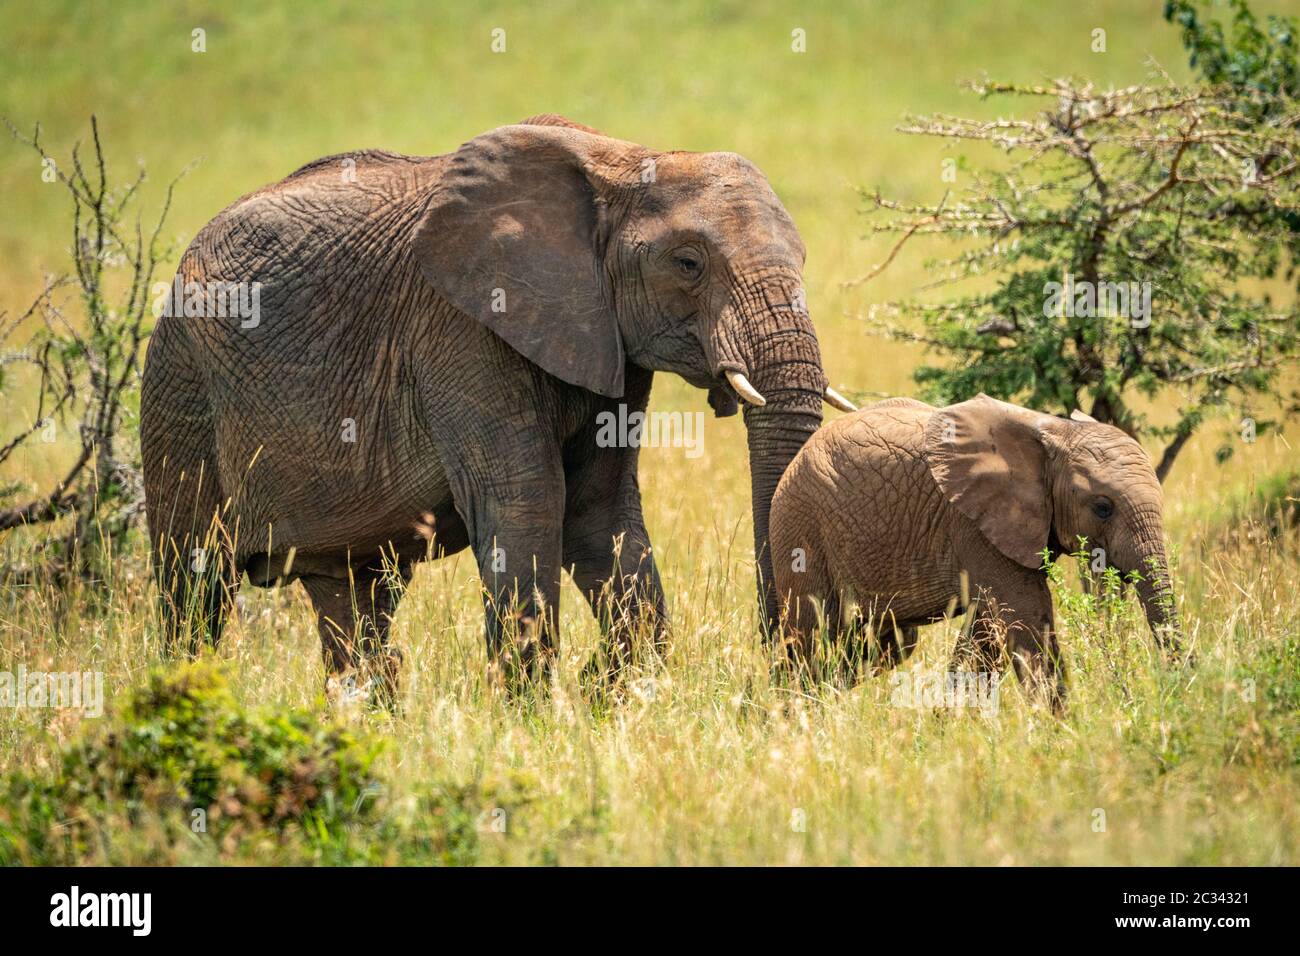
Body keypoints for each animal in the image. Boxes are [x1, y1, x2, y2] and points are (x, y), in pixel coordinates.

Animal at [140, 114, 854, 702]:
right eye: (688, 263)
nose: (791, 674)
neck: (623, 159)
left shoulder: (610, 343)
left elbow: (598, 511)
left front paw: (615, 693)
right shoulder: (461, 329)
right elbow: (528, 499)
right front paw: (534, 716)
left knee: (355, 594)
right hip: (180, 381)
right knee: (194, 585)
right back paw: (188, 694)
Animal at [769, 394, 1181, 709]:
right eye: (1103, 507)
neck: (1055, 431)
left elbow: (986, 634)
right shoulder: (974, 523)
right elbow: (1026, 621)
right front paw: (1066, 736)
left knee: (882, 643)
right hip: (799, 525)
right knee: (810, 638)